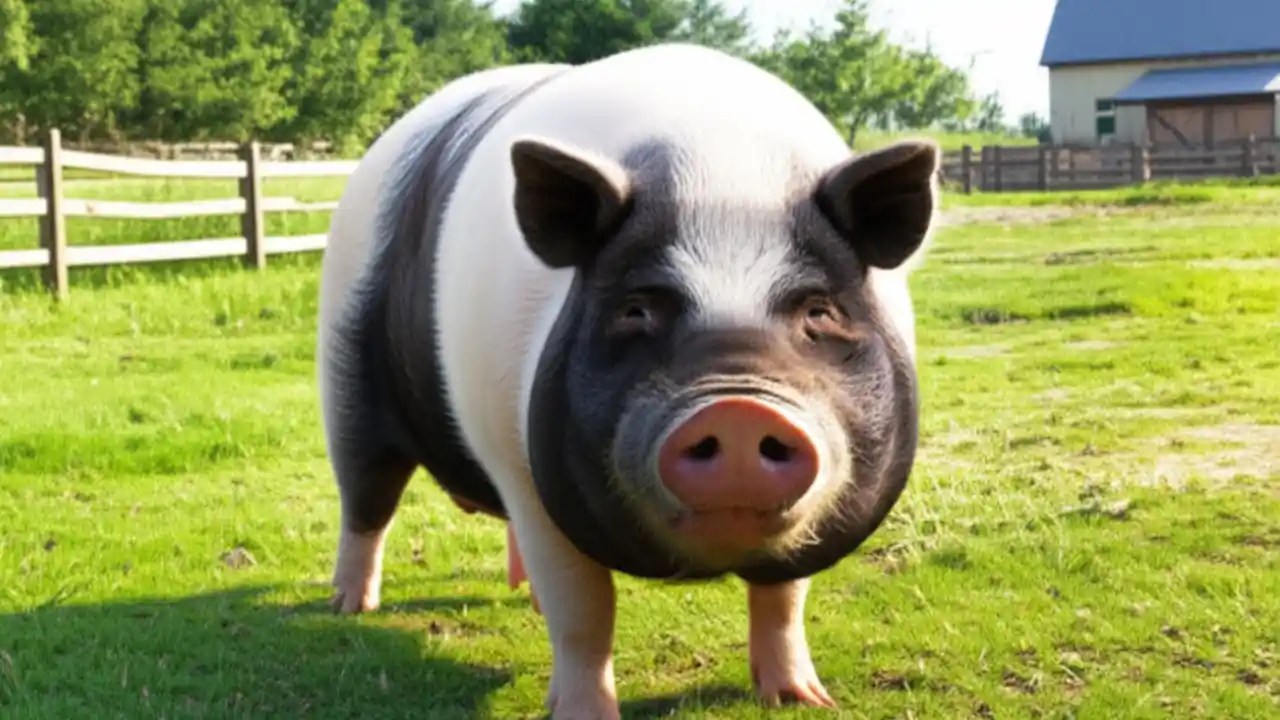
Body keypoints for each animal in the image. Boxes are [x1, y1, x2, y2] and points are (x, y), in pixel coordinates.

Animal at [316, 43, 937, 717]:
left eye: (819, 311)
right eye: (636, 310)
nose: (739, 409)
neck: (720, 169)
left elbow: (783, 597)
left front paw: (803, 700)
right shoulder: (528, 480)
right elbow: (585, 610)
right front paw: (584, 712)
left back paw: (520, 596)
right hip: (343, 367)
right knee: (365, 499)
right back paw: (348, 607)